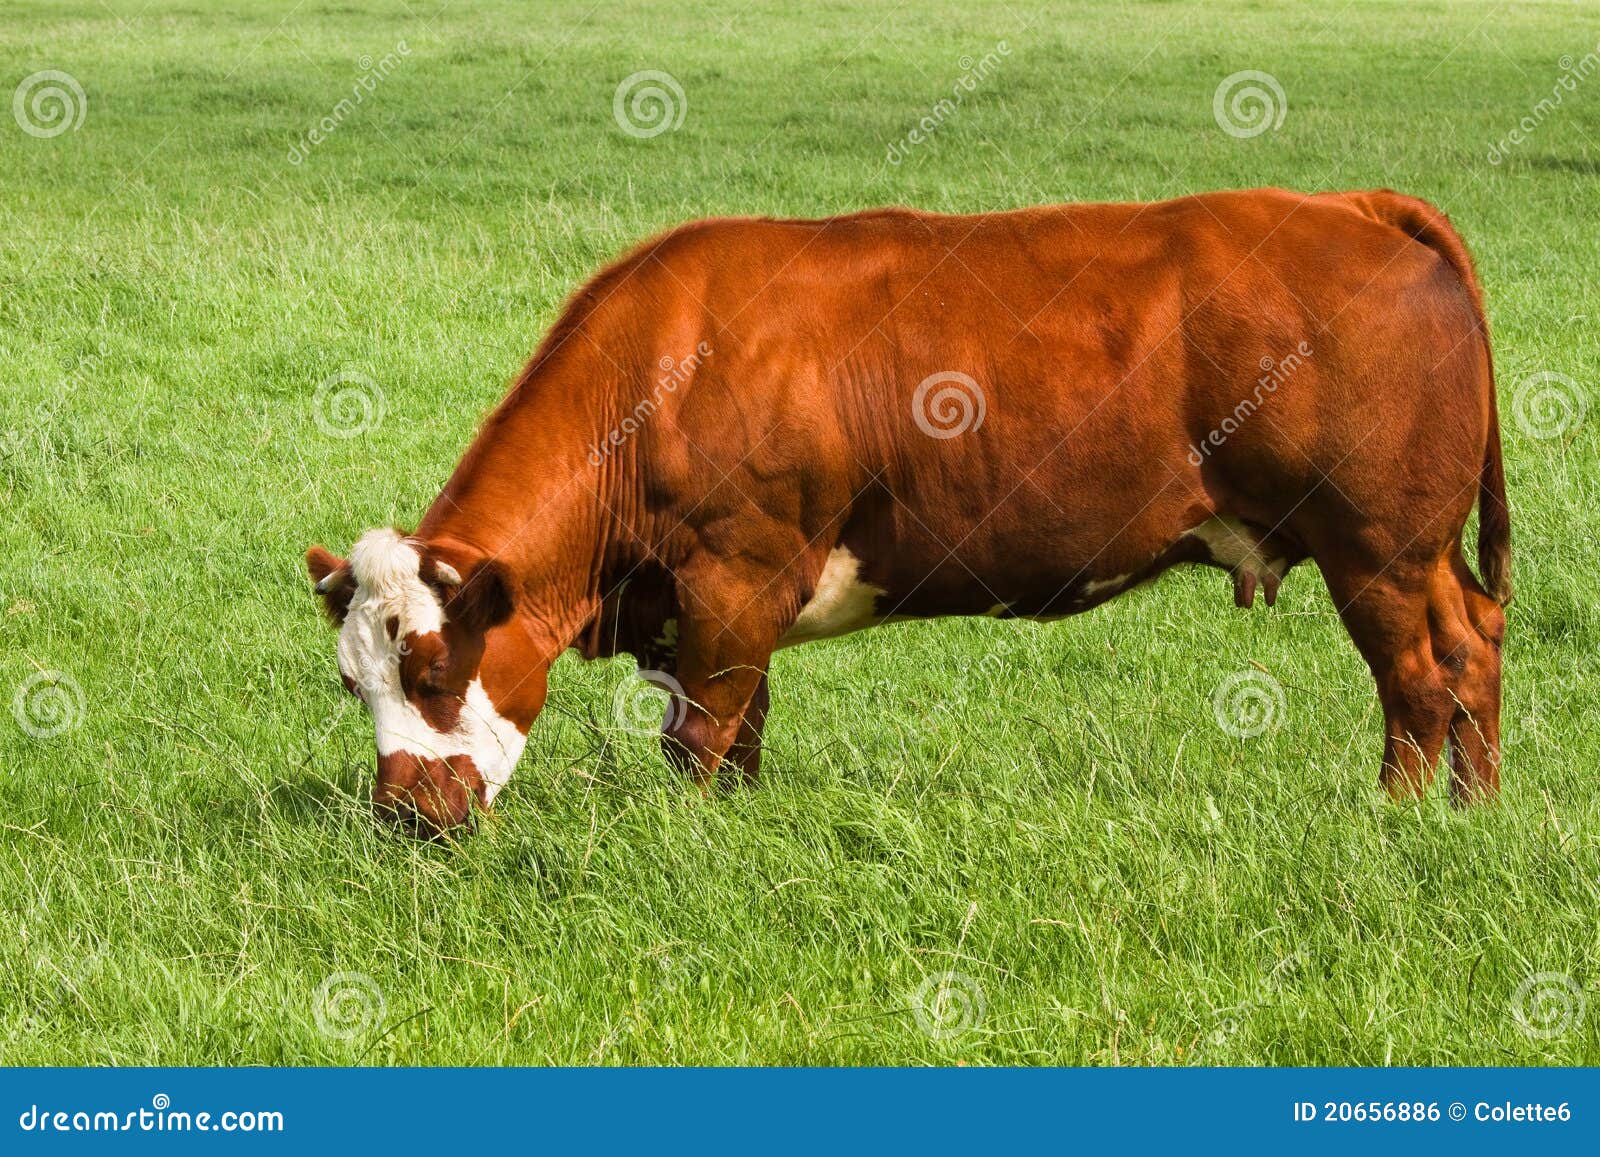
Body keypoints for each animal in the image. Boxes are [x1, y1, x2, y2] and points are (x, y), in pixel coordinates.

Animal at [306, 187, 1511, 837]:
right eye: (354, 680)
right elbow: (740, 733)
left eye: (431, 671)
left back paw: (1400, 818)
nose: (403, 814)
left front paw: (692, 844)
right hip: (1424, 552)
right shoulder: (699, 604)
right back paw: (1472, 811)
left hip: (1376, 546)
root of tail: (1353, 208)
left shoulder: (732, 577)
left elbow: (700, 740)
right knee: (1474, 646)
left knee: (1416, 678)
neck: (655, 377)